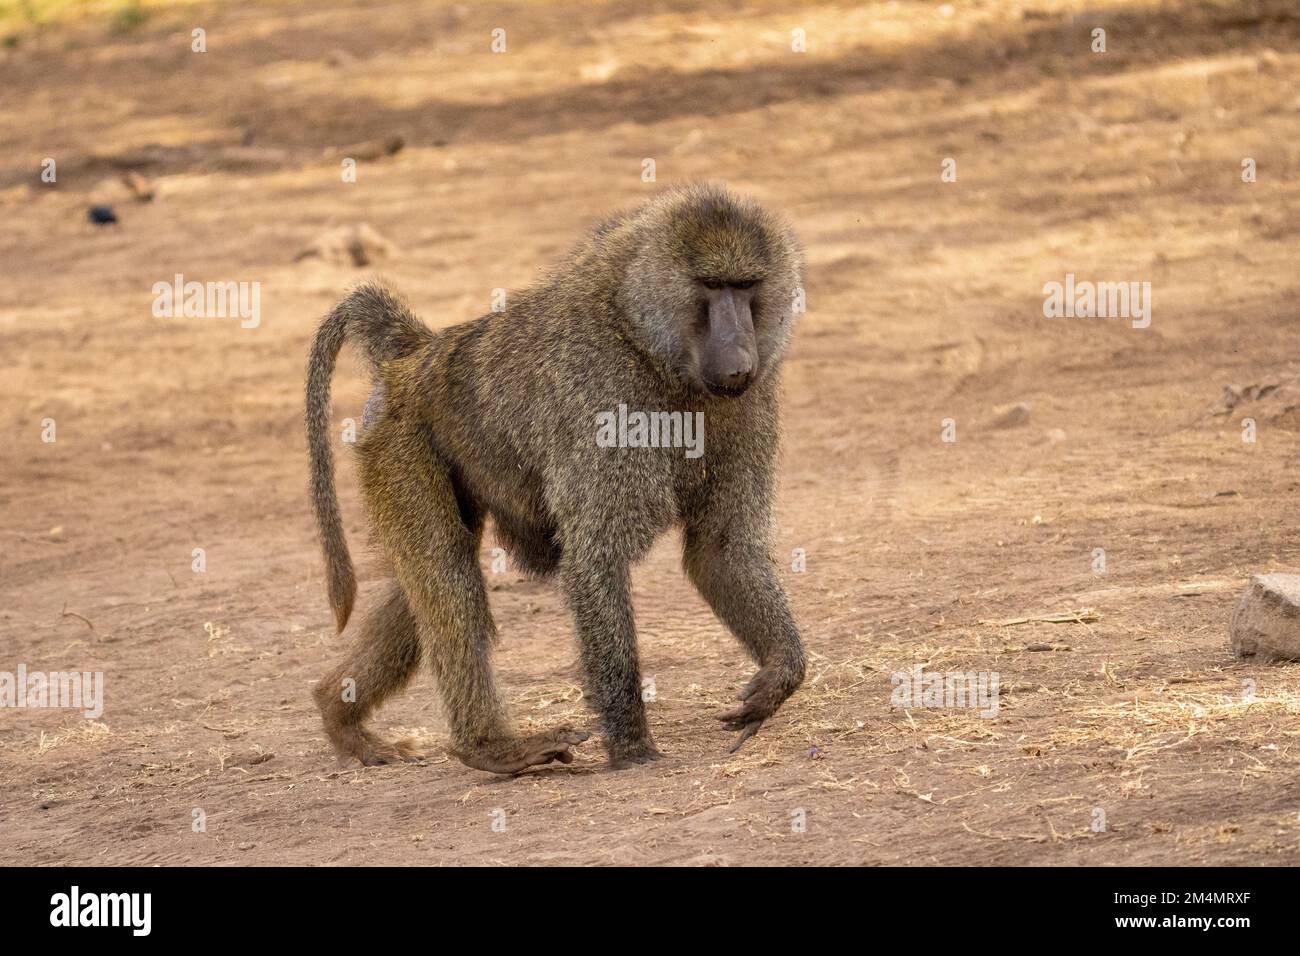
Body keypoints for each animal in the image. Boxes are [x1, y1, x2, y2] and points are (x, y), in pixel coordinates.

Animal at [305, 182, 807, 774]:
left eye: (746, 286)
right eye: (711, 286)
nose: (738, 360)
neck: (647, 342)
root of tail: (418, 354)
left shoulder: (750, 403)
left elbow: (721, 549)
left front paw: (779, 673)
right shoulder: (605, 395)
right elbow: (596, 554)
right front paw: (632, 746)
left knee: (424, 582)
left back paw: (341, 714)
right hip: (397, 444)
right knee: (447, 572)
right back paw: (490, 749)